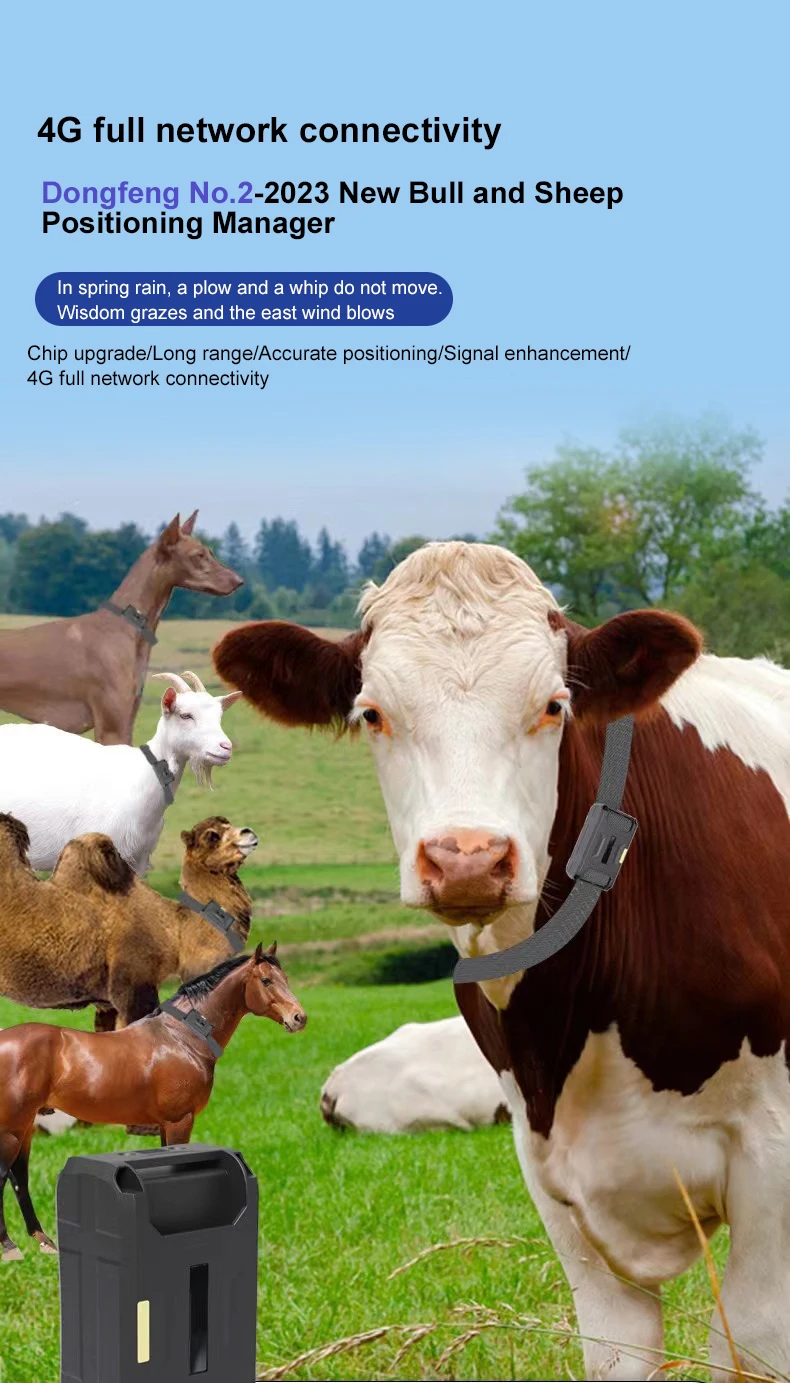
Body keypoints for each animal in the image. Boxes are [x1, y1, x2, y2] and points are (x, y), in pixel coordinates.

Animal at [0, 812, 258, 1030]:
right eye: (212, 836)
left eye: (229, 824)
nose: (249, 833)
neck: (174, 931)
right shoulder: (135, 986)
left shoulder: (107, 1004)